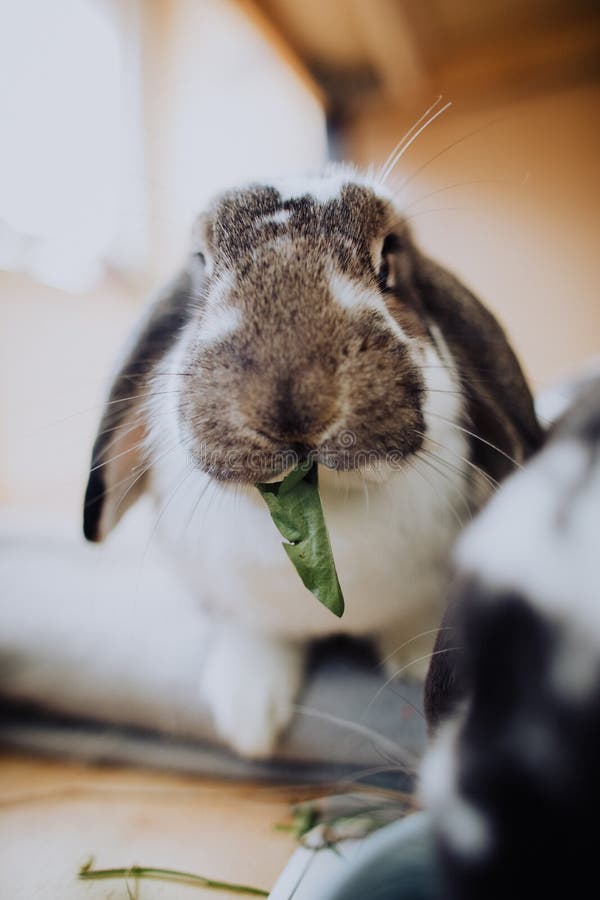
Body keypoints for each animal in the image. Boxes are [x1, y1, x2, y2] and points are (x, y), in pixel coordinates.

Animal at [83, 165, 542, 759]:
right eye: (202, 264)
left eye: (389, 260)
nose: (291, 400)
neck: (327, 501)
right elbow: (256, 632)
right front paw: (249, 723)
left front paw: (417, 664)